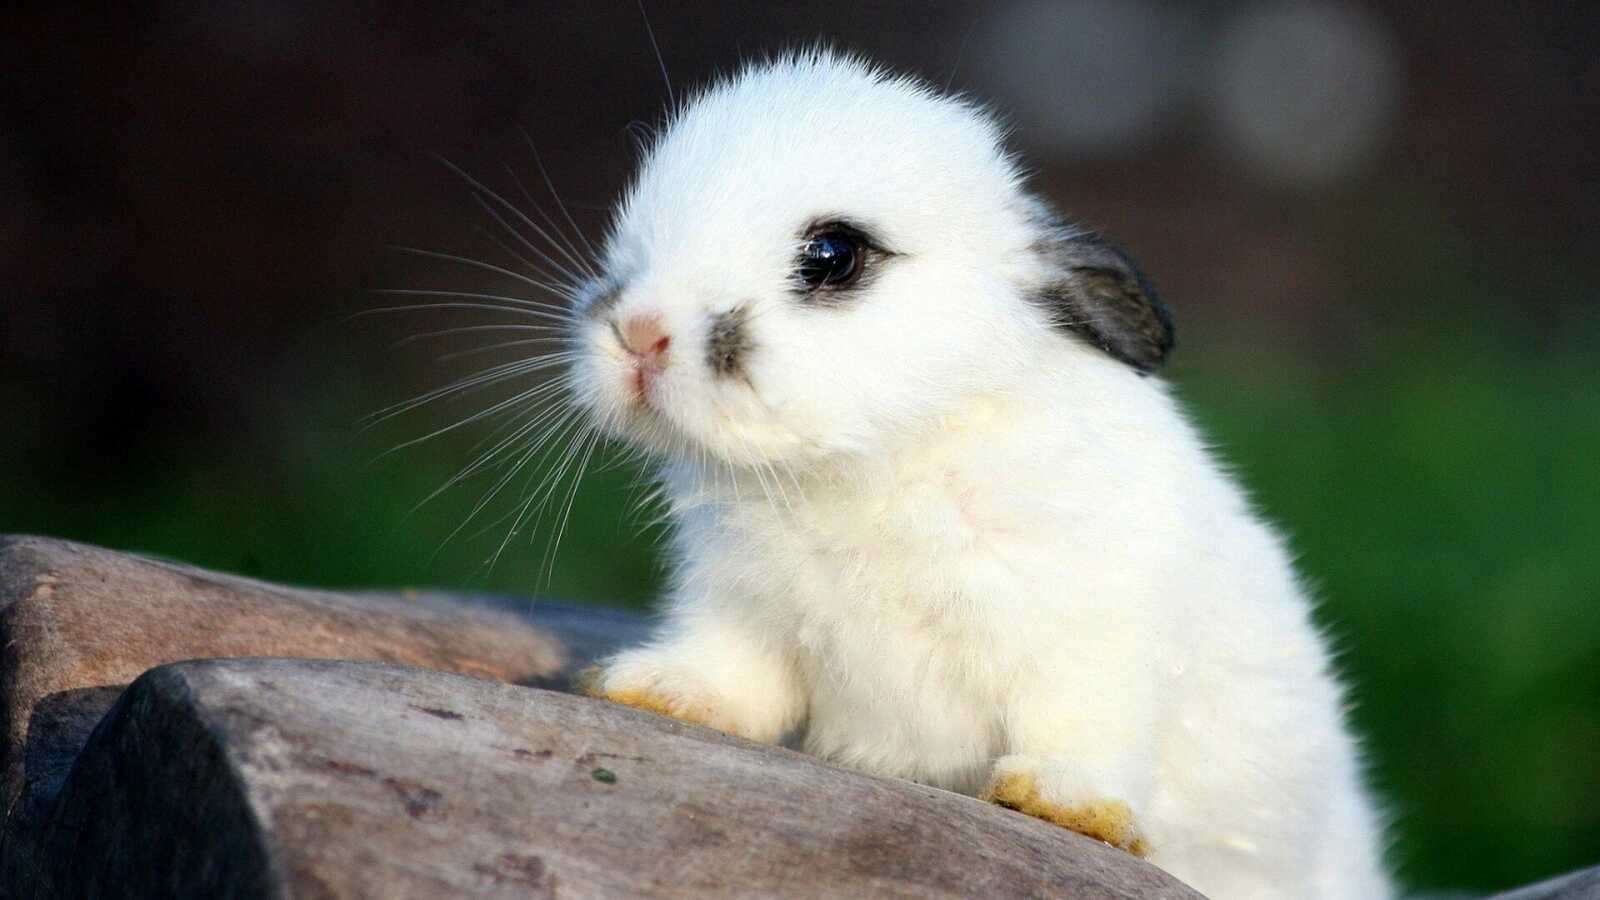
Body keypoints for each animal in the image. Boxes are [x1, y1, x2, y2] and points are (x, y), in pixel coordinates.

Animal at [565, 50, 1391, 900]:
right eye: (635, 234)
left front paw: (1059, 801)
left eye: (833, 255)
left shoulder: (1093, 633)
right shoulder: (740, 608)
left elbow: (1084, 723)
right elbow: (734, 676)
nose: (639, 332)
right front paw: (657, 690)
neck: (872, 463)